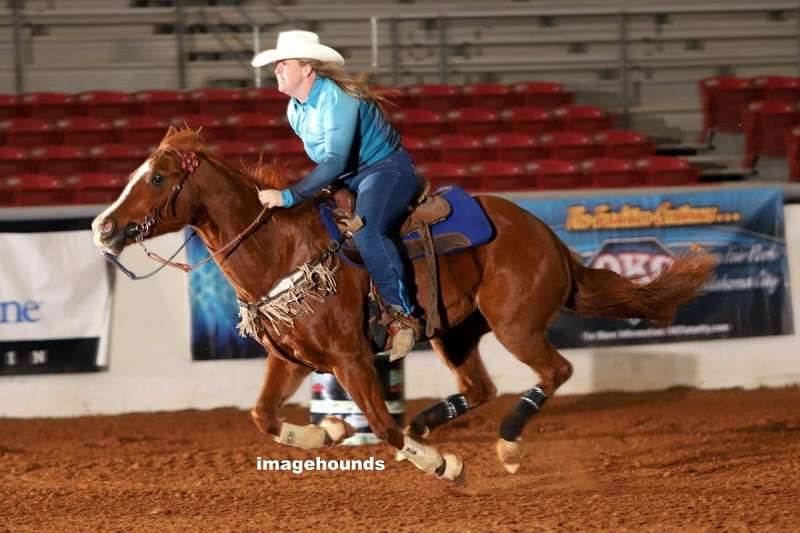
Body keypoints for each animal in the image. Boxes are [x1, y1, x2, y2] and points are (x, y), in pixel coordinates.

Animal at [91, 127, 715, 484]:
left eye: (158, 178)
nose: (103, 227)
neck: (281, 250)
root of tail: (545, 234)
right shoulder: (290, 359)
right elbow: (263, 416)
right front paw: (324, 434)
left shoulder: (351, 358)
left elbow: (380, 424)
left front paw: (442, 464)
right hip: (452, 333)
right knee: (480, 388)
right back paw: (429, 423)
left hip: (515, 324)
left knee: (554, 371)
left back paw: (505, 445)